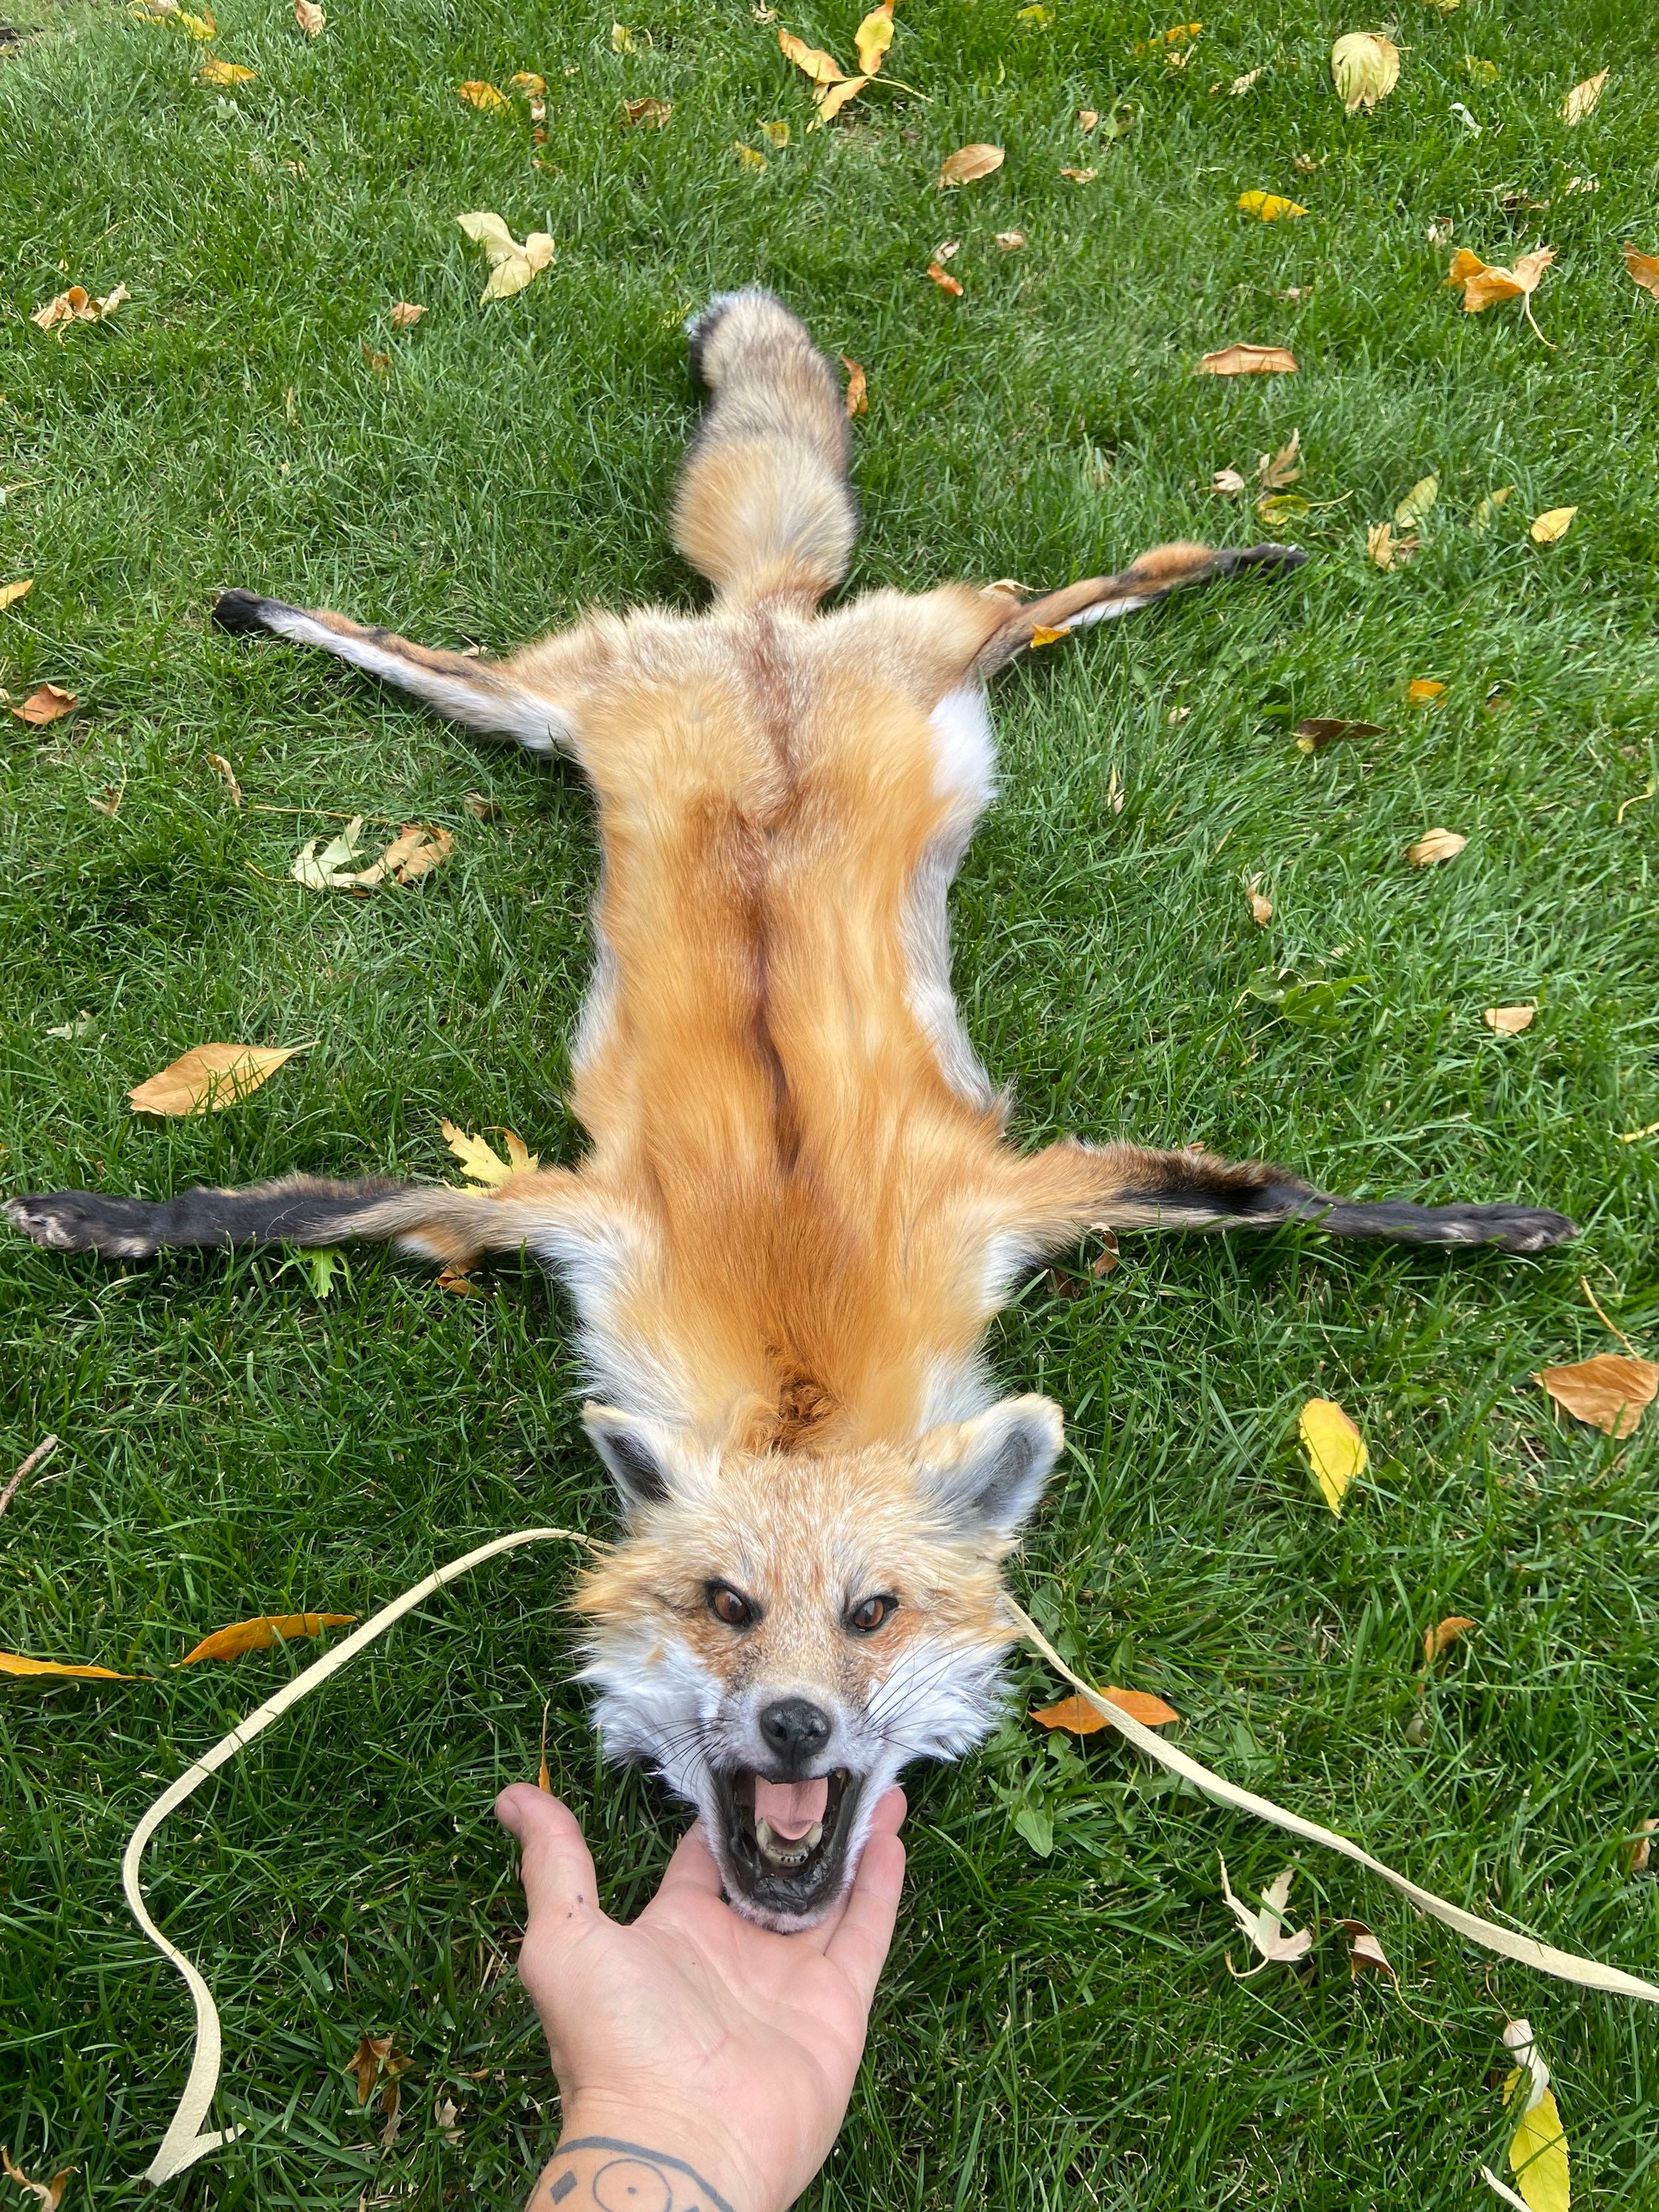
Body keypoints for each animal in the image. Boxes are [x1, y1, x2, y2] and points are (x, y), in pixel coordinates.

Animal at [8, 291, 1576, 1931]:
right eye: (727, 1604)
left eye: (872, 1610)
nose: (795, 1724)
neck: (795, 1374)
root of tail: (763, 622)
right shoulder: (578, 1208)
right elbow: (305, 1205)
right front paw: (106, 1216)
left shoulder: (996, 1201)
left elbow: (1262, 1192)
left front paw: (1487, 1220)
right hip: (558, 704)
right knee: (434, 652)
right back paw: (265, 609)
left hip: (924, 657)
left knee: (1063, 590)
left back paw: (1240, 553)